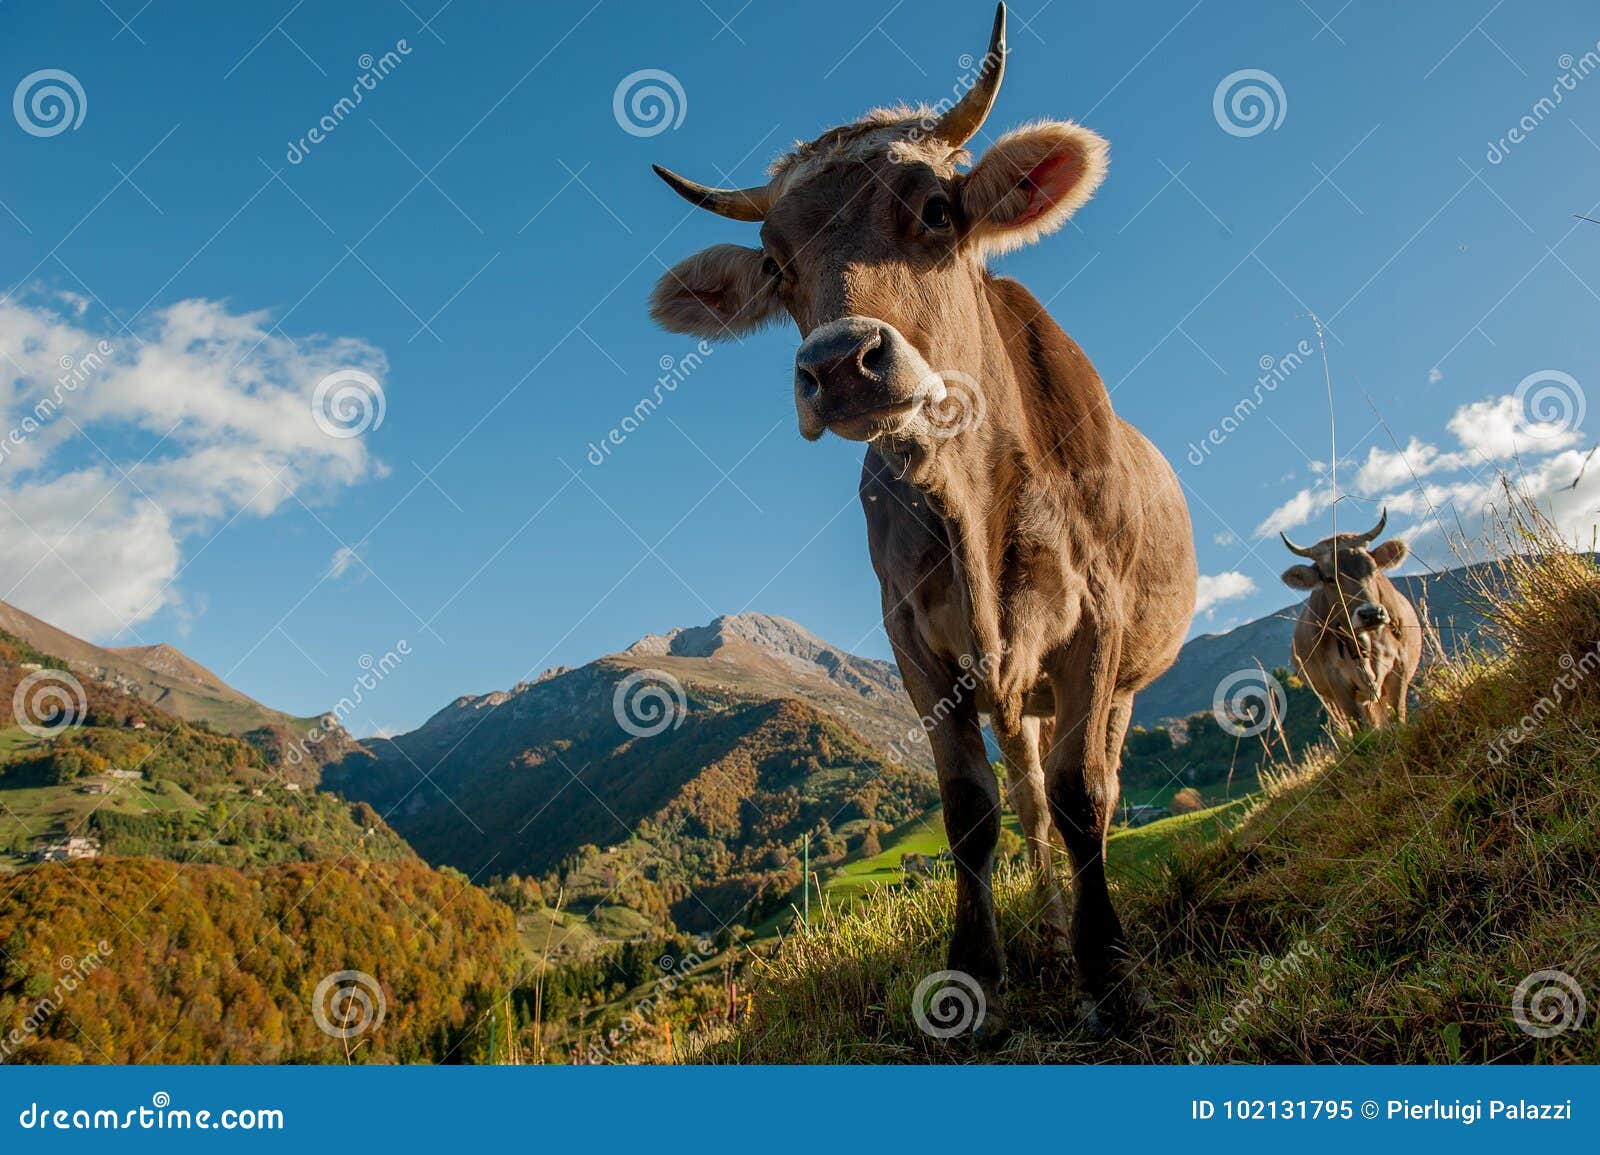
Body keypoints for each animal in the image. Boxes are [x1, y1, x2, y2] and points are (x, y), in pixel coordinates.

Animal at [647, 4, 1196, 1035]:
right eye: (776, 265)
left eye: (938, 210)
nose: (839, 364)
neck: (973, 501)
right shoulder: (916, 643)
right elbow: (971, 808)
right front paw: (975, 972)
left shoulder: (1095, 626)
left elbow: (1085, 794)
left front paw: (1109, 969)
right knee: (1024, 793)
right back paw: (1048, 923)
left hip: (1122, 677)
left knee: (1086, 782)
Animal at [1280, 509, 1423, 733]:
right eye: (1329, 578)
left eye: (1373, 568)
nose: (1371, 613)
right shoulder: (1337, 684)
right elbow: (1359, 730)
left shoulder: (1400, 667)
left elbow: (1398, 719)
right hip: (1328, 699)